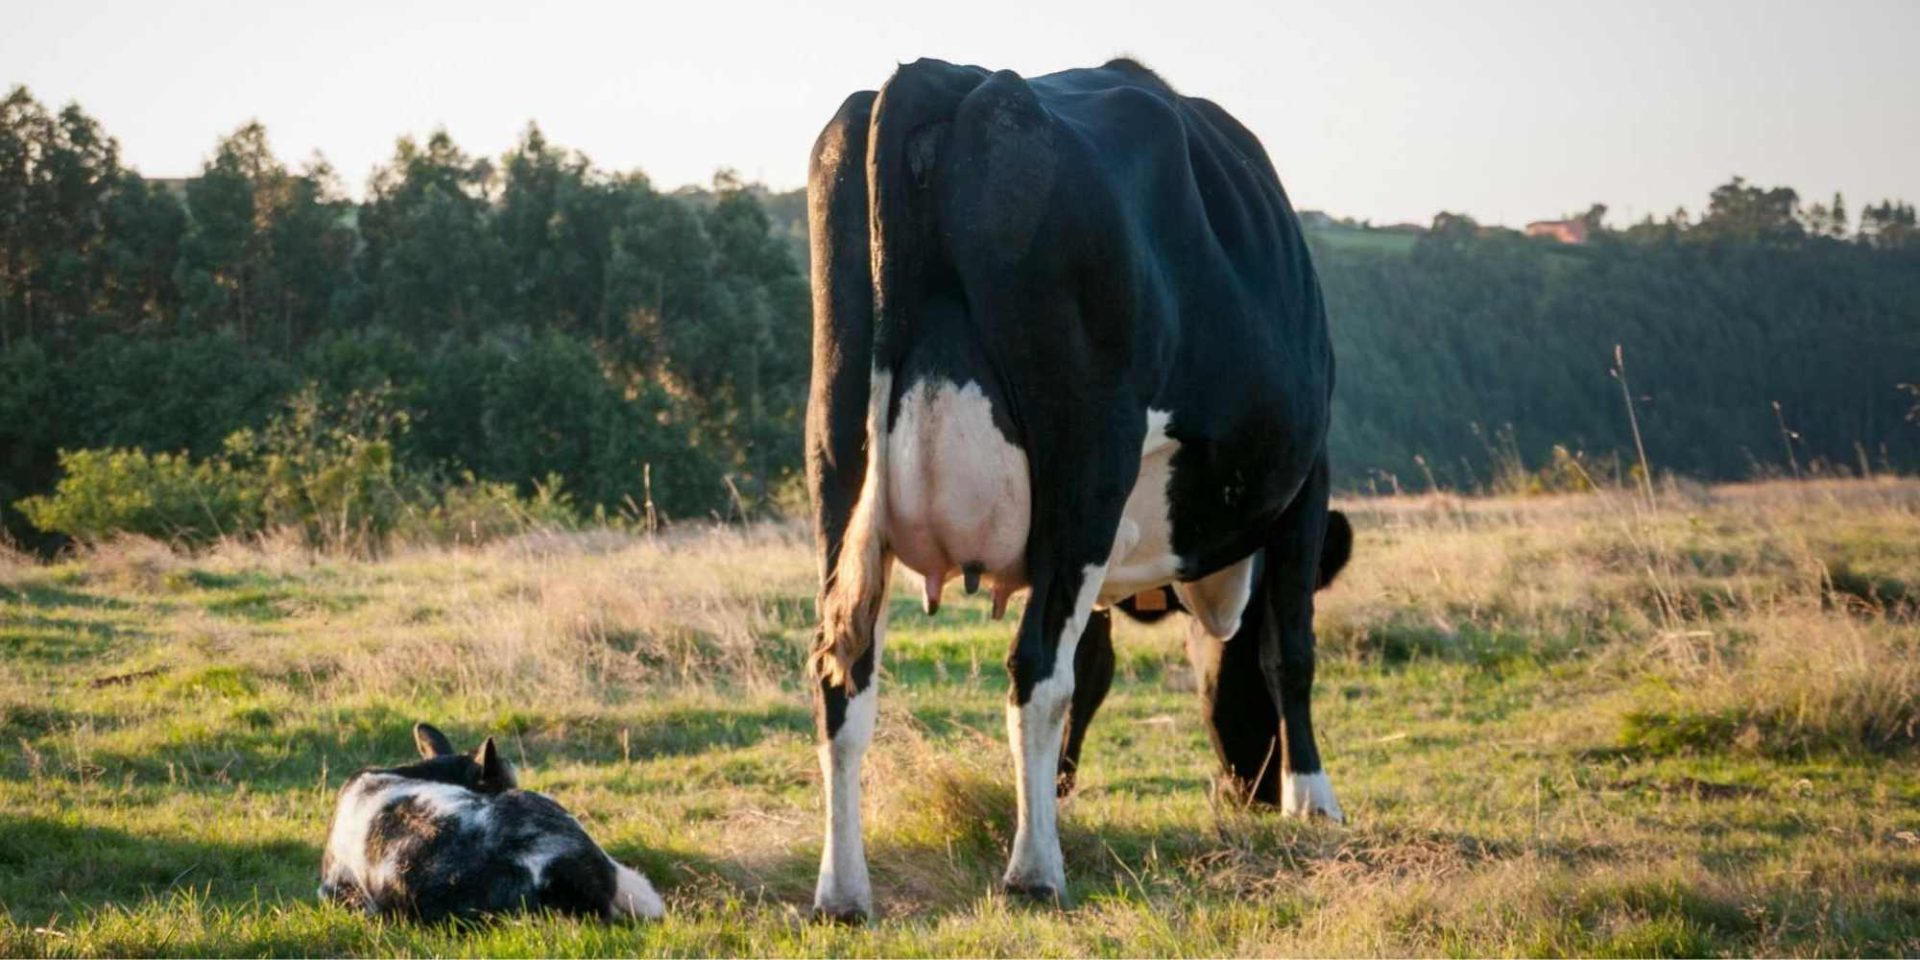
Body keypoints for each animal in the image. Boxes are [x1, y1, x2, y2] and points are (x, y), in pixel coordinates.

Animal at [804, 57, 1347, 921]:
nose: (1251, 791)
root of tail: (947, 75)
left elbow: (1094, 665)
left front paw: (1059, 793)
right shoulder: (1306, 480)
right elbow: (1287, 647)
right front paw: (1313, 801)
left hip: (840, 461)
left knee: (843, 673)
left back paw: (844, 890)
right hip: (1085, 460)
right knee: (1033, 671)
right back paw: (1033, 871)